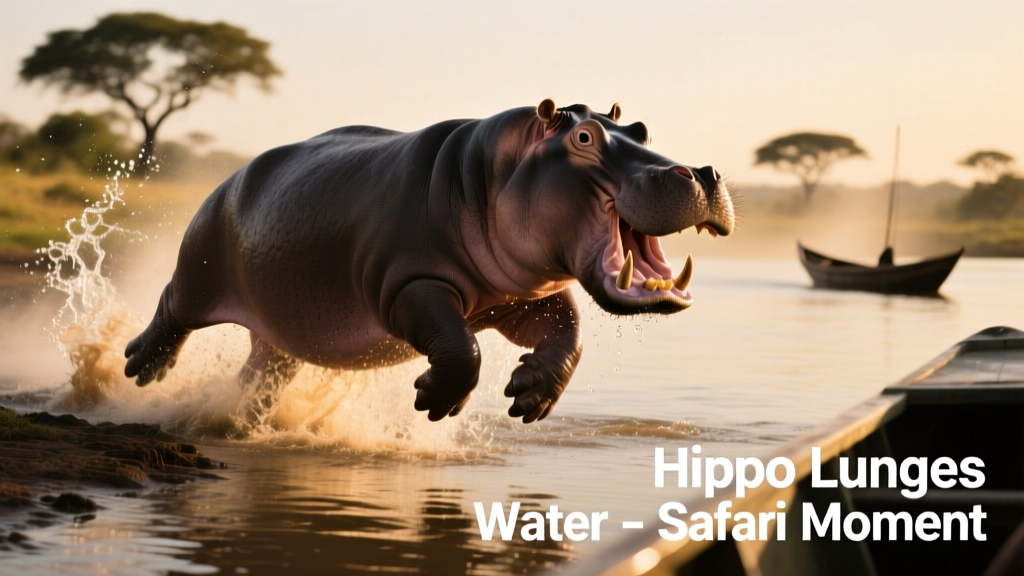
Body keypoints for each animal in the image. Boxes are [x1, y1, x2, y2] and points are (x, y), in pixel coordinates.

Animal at [124, 100, 734, 423]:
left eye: (640, 129)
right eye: (583, 137)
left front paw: (530, 399)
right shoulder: (408, 286)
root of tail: (232, 175)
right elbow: (461, 348)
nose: (704, 171)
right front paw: (434, 404)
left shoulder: (520, 295)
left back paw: (246, 416)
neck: (491, 173)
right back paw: (140, 368)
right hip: (201, 267)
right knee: (171, 306)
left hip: (281, 329)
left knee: (263, 369)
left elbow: (570, 329)